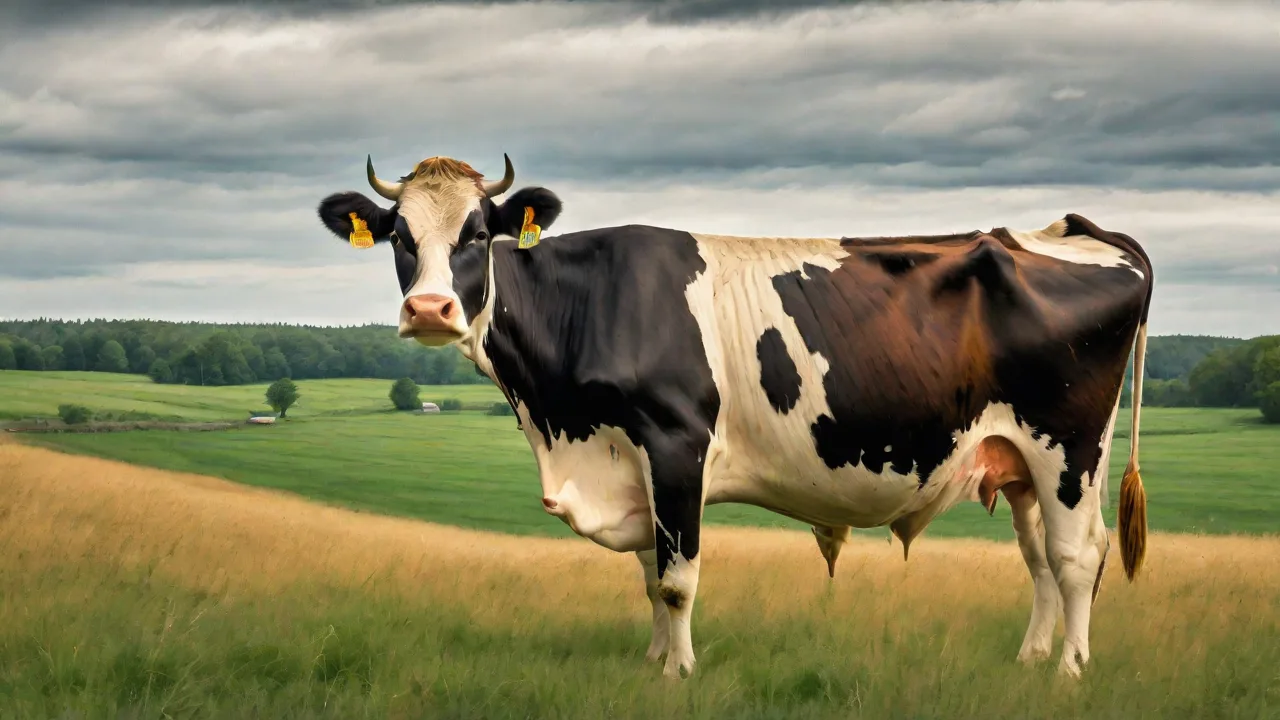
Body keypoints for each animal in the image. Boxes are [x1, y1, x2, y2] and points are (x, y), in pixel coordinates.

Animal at [316, 153, 1153, 680]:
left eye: (478, 234)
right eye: (399, 236)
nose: (430, 310)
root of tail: (1068, 229)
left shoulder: (675, 442)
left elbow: (678, 578)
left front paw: (679, 672)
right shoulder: (635, 466)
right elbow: (650, 574)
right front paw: (654, 661)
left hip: (1070, 448)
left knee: (1077, 556)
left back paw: (1070, 671)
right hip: (1019, 460)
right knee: (1041, 558)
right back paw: (1031, 659)